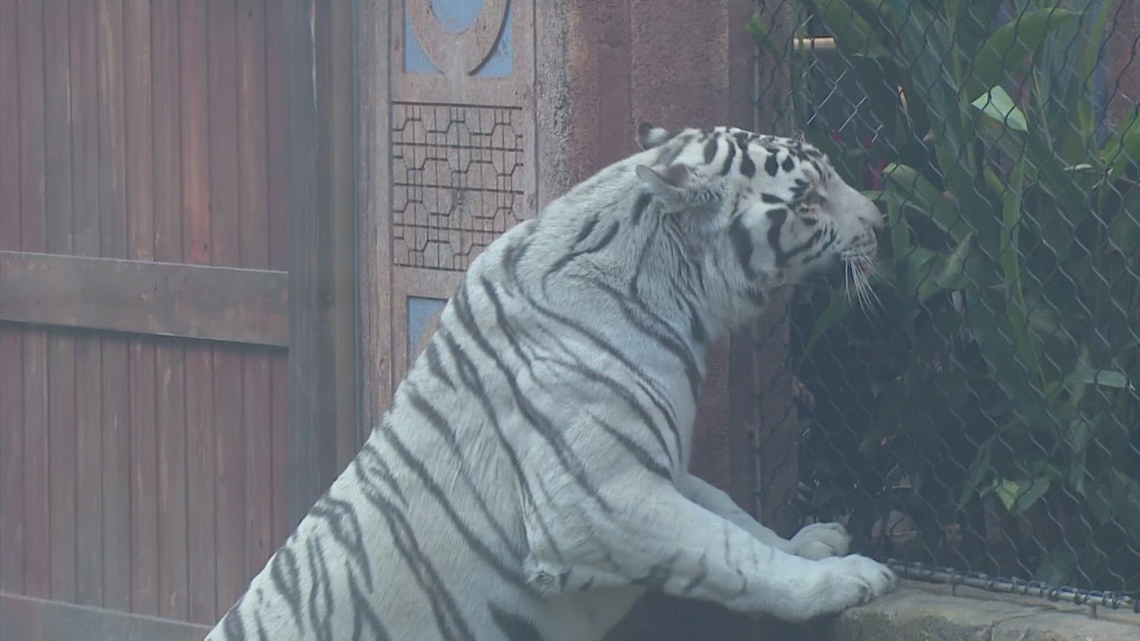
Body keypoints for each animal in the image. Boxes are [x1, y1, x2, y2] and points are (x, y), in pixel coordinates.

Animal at [205, 122, 894, 641]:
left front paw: (812, 542)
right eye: (807, 201)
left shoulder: (654, 467)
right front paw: (844, 580)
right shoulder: (595, 499)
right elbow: (731, 552)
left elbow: (735, 516)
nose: (882, 221)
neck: (675, 290)